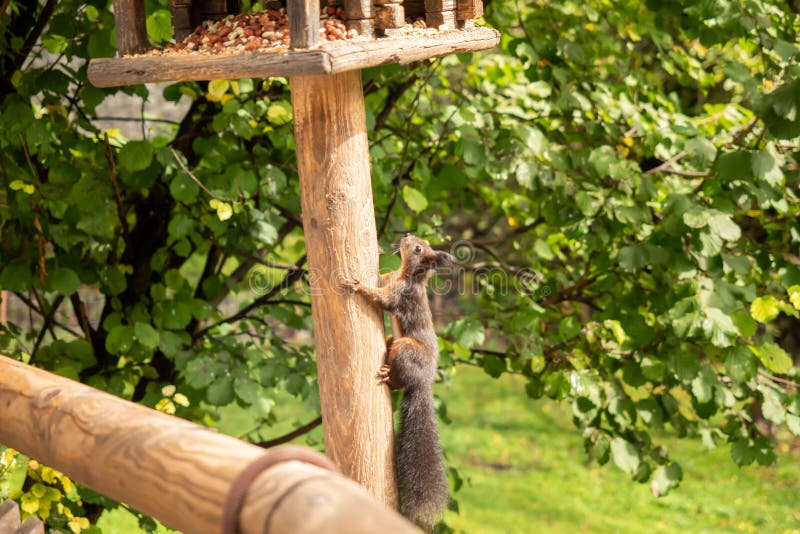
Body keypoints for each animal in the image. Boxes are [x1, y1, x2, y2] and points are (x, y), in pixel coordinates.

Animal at [343, 234, 454, 532]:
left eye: (418, 248)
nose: (406, 236)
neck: (407, 275)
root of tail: (424, 381)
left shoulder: (399, 293)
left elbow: (381, 298)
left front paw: (357, 285)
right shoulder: (389, 278)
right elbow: (380, 279)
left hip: (405, 348)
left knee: (399, 380)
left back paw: (387, 377)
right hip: (394, 342)